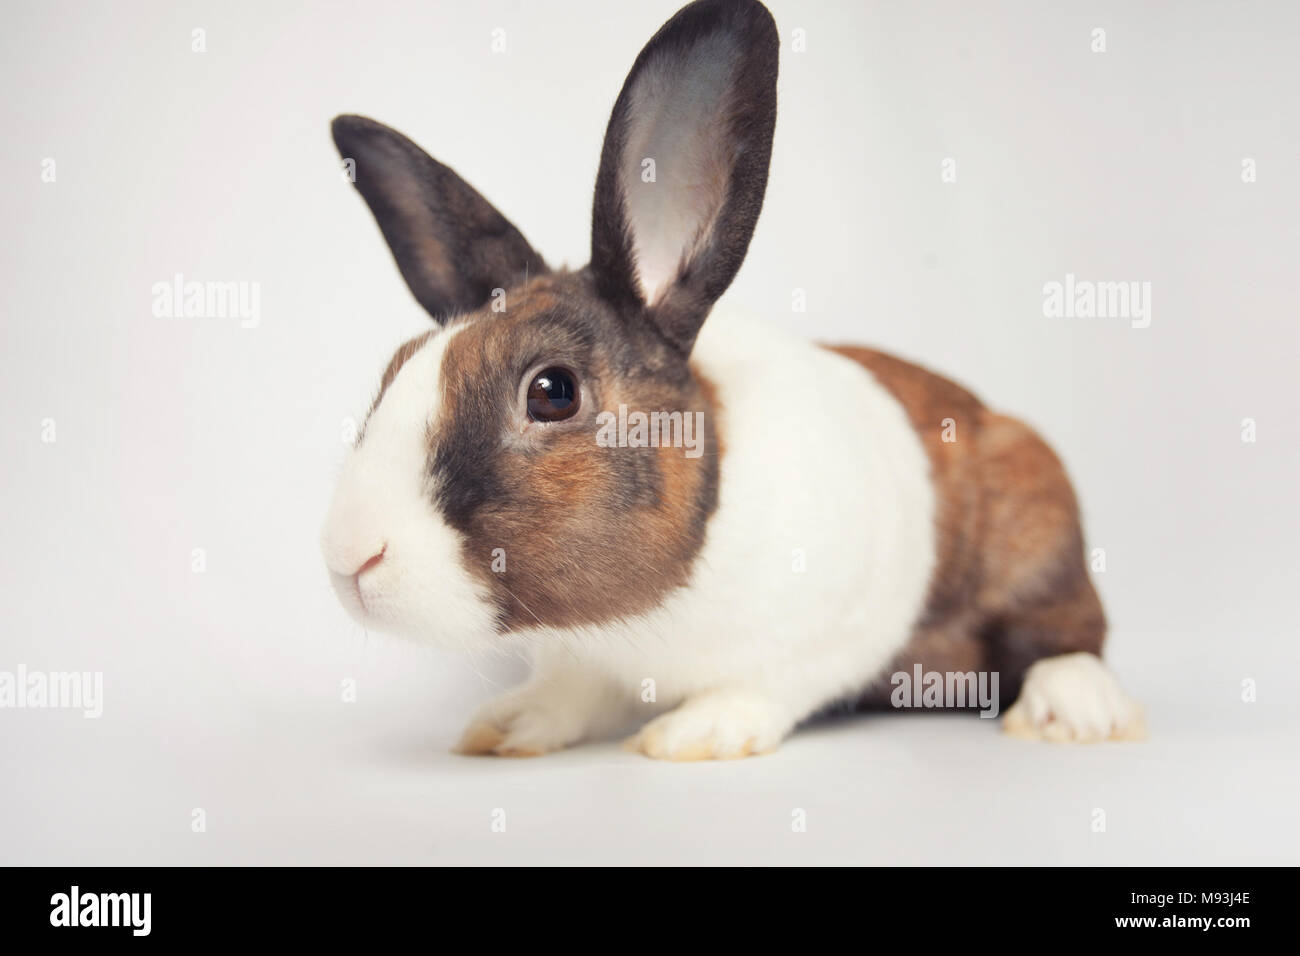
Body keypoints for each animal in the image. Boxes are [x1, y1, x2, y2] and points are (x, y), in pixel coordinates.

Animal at [320, 0, 1144, 759]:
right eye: (396, 366)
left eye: (552, 392)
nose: (350, 558)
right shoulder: (587, 663)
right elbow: (571, 691)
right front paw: (508, 727)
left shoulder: (828, 630)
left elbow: (766, 686)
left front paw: (694, 734)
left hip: (1040, 541)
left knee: (1069, 636)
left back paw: (1076, 712)